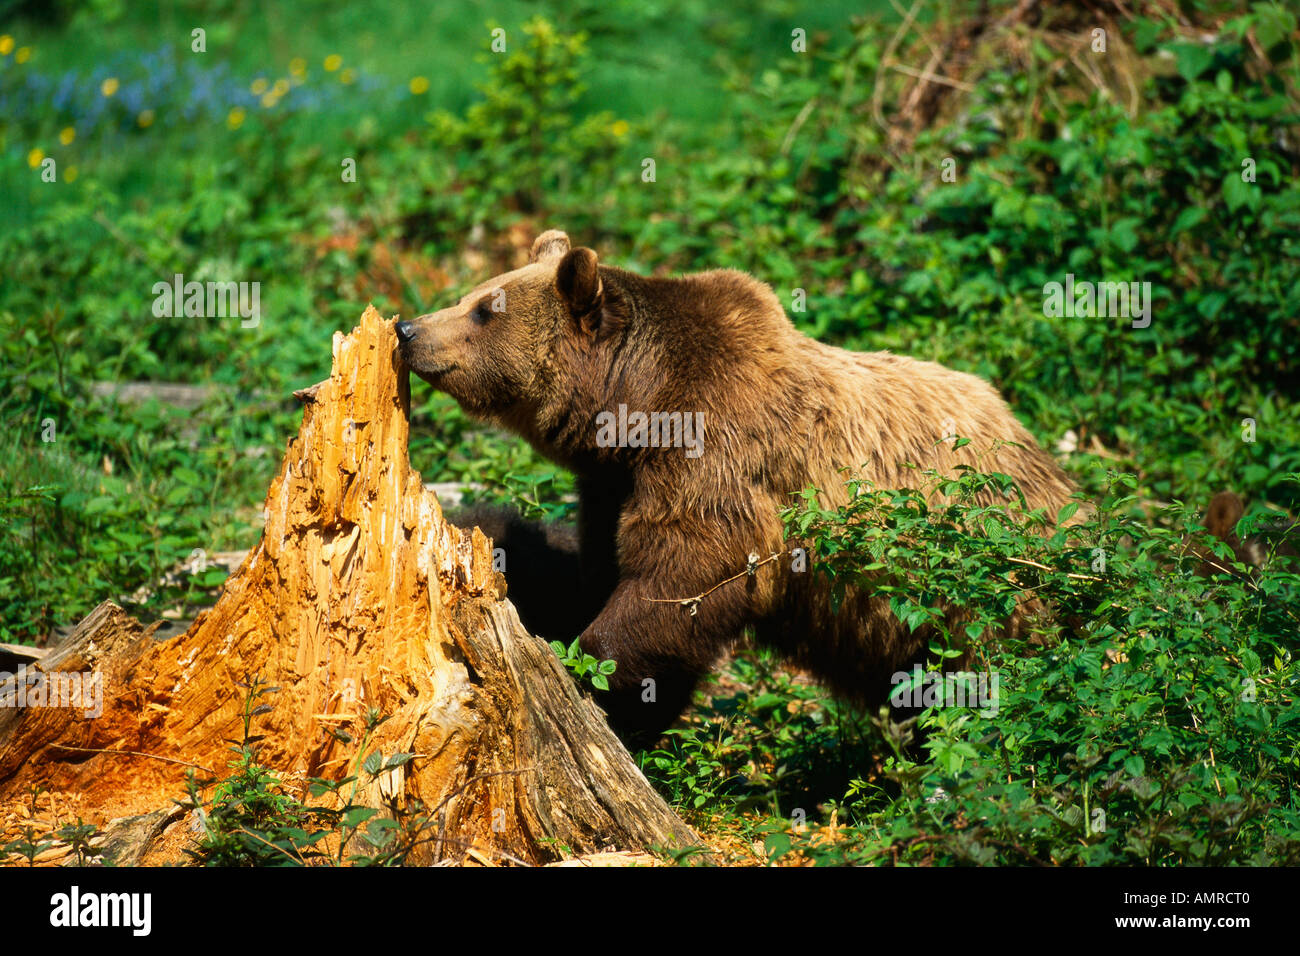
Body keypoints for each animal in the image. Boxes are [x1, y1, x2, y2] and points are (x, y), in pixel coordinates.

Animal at [396, 229, 1079, 742]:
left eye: (485, 309)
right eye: (473, 295)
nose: (409, 328)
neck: (636, 405)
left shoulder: (717, 449)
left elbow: (689, 574)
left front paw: (589, 667)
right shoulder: (613, 482)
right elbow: (605, 571)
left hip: (982, 577)